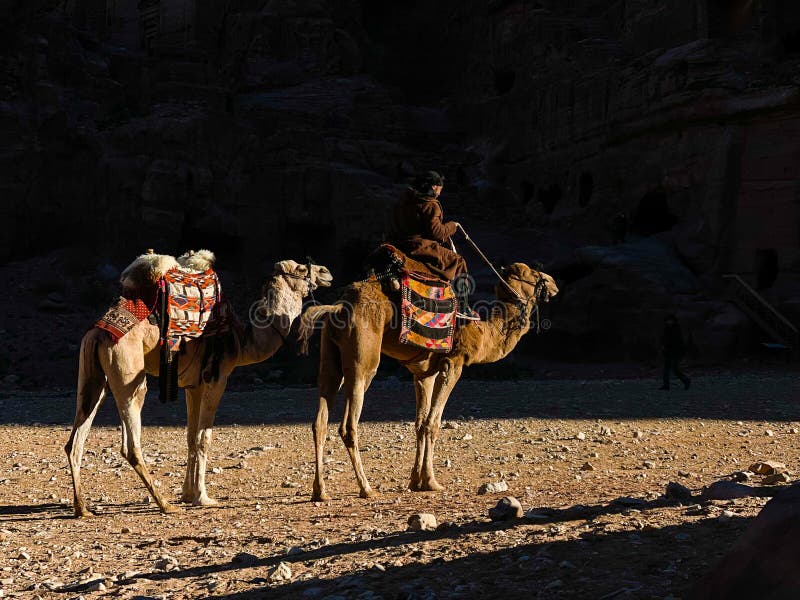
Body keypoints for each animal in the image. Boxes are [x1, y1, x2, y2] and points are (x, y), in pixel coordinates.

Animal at [65, 255, 332, 517]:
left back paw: (82, 508)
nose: (326, 272)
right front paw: (203, 498)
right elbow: (204, 438)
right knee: (130, 444)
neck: (242, 340)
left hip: (93, 376)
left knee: (75, 441)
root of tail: (99, 333)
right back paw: (164, 504)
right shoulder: (217, 378)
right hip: (128, 373)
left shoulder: (193, 386)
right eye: (301, 268)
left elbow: (191, 438)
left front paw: (187, 494)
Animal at [298, 262, 558, 501]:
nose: (553, 283)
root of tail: (340, 306)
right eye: (531, 273)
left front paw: (417, 480)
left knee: (320, 420)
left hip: (330, 356)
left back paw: (320, 491)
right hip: (363, 361)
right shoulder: (453, 364)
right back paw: (366, 488)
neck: (483, 330)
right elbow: (433, 423)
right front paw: (432, 482)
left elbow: (420, 424)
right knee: (348, 425)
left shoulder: (424, 373)